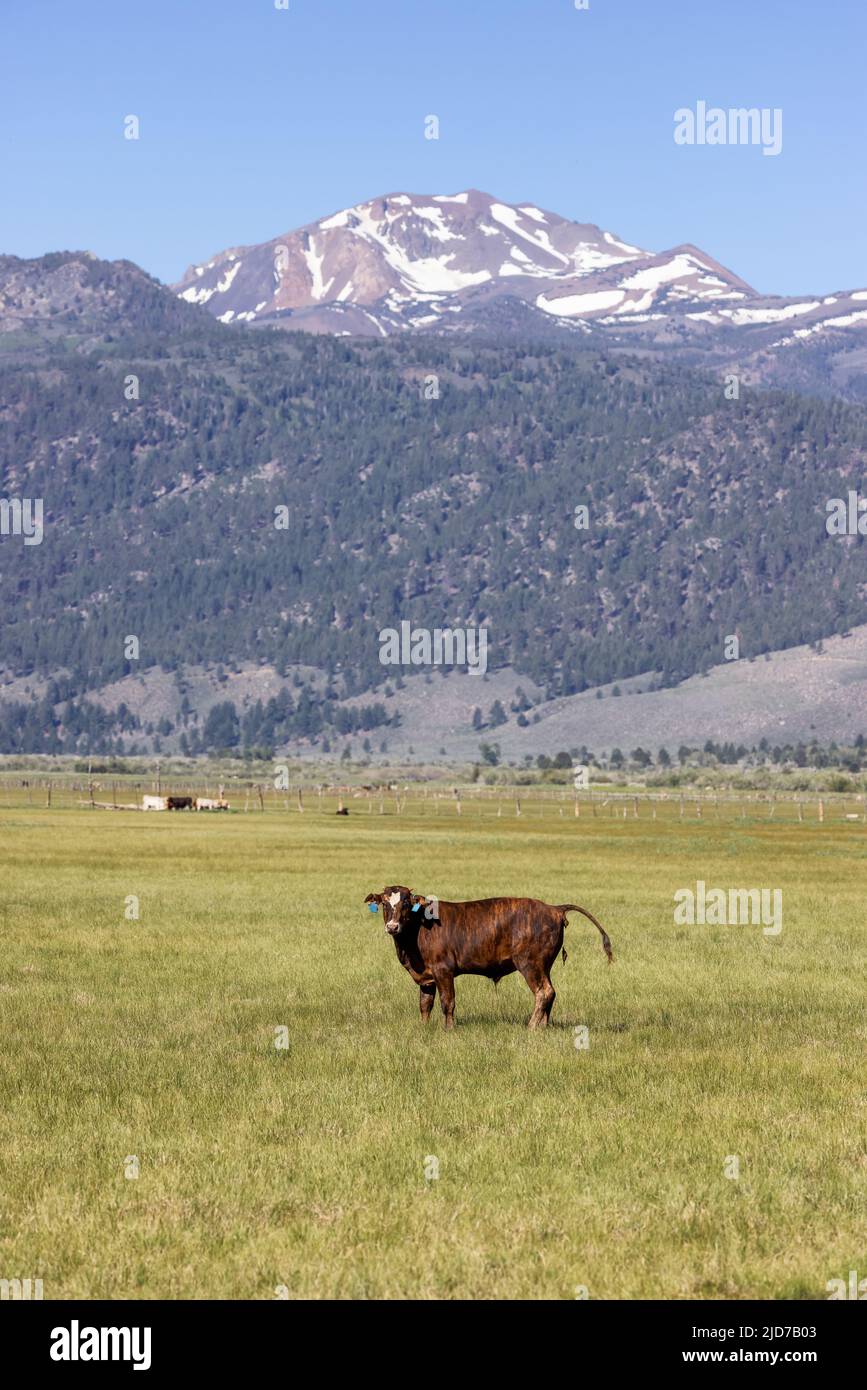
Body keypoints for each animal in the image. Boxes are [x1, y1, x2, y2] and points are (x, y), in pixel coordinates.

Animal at [363, 885, 613, 1030]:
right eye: (384, 903)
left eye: (406, 903)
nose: (392, 926)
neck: (417, 929)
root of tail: (553, 908)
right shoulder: (426, 978)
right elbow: (425, 1004)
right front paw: (424, 1028)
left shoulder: (444, 971)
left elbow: (447, 1003)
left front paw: (449, 1030)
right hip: (544, 966)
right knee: (550, 993)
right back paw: (542, 1026)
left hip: (530, 964)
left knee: (544, 992)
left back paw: (531, 1026)